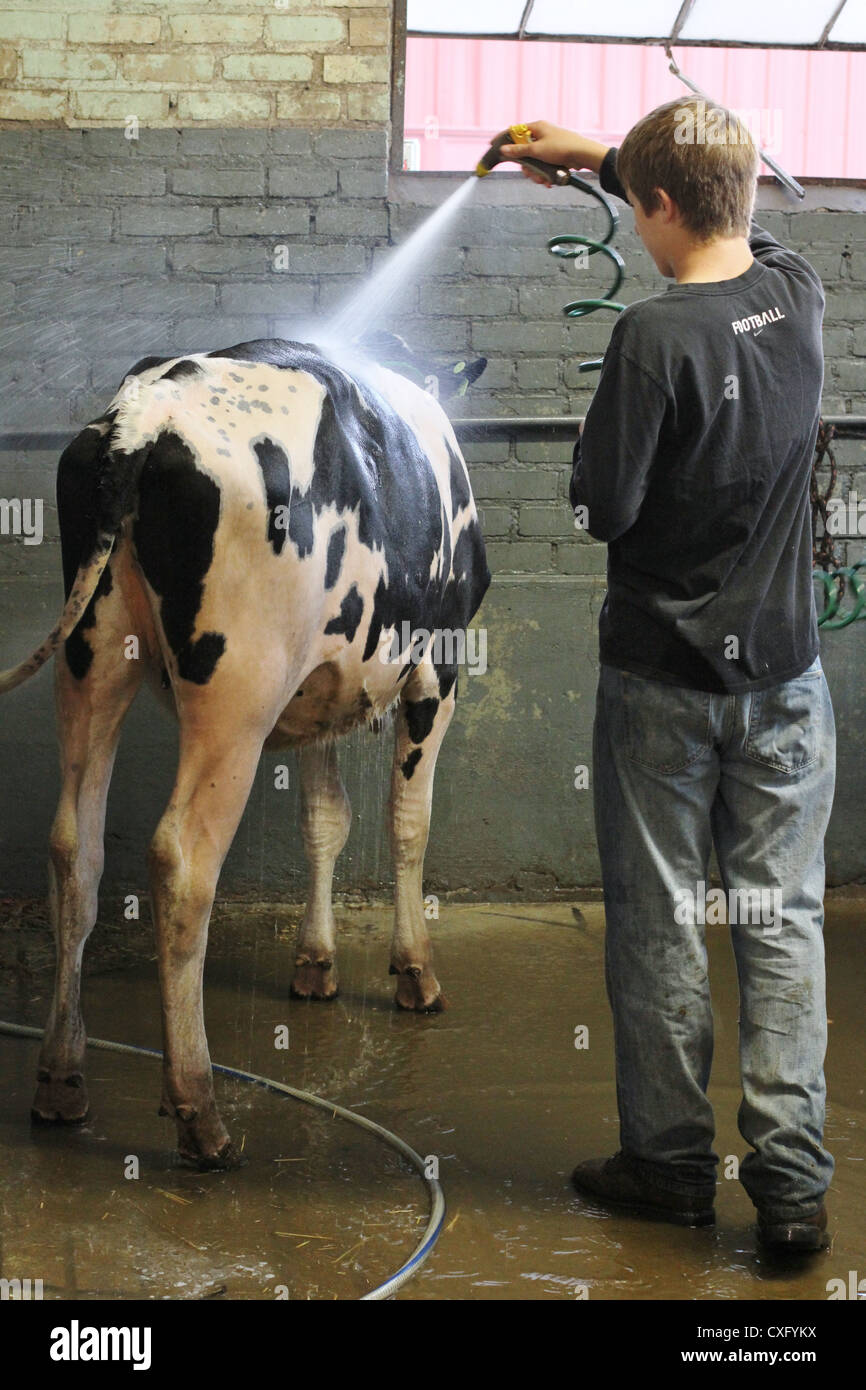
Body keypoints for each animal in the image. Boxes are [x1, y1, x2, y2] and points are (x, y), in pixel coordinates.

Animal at [0, 337, 490, 1169]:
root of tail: (147, 411)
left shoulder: (325, 687)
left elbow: (326, 820)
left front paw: (316, 963)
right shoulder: (439, 664)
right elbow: (407, 821)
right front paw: (414, 972)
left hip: (92, 658)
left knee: (75, 848)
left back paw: (62, 1079)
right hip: (236, 696)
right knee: (182, 860)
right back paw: (199, 1110)